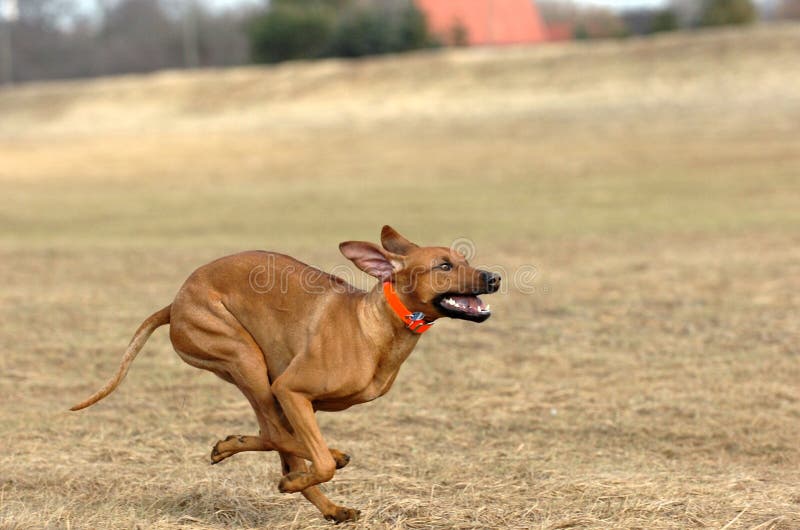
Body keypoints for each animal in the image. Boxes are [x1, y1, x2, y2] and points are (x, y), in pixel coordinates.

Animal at [73, 224, 500, 520]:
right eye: (444, 266)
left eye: (464, 260)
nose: (493, 277)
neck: (374, 326)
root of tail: (174, 305)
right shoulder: (291, 389)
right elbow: (318, 460)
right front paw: (317, 465)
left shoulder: (299, 401)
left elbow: (298, 451)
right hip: (246, 360)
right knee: (280, 436)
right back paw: (319, 465)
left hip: (256, 375)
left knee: (273, 435)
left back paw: (325, 504)